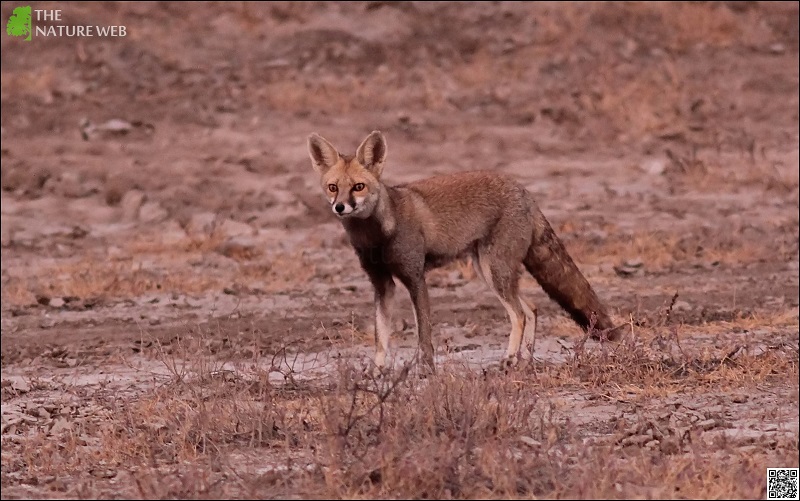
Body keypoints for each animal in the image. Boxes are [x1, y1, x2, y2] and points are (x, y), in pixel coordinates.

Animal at [307, 130, 621, 372]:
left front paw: (425, 371)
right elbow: (380, 337)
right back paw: (525, 360)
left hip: (495, 272)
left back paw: (510, 359)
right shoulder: (382, 284)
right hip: (490, 272)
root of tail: (523, 190)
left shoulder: (415, 278)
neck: (377, 237)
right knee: (531, 309)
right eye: (333, 187)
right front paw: (376, 372)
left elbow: (424, 335)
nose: (340, 207)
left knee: (519, 313)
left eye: (358, 187)